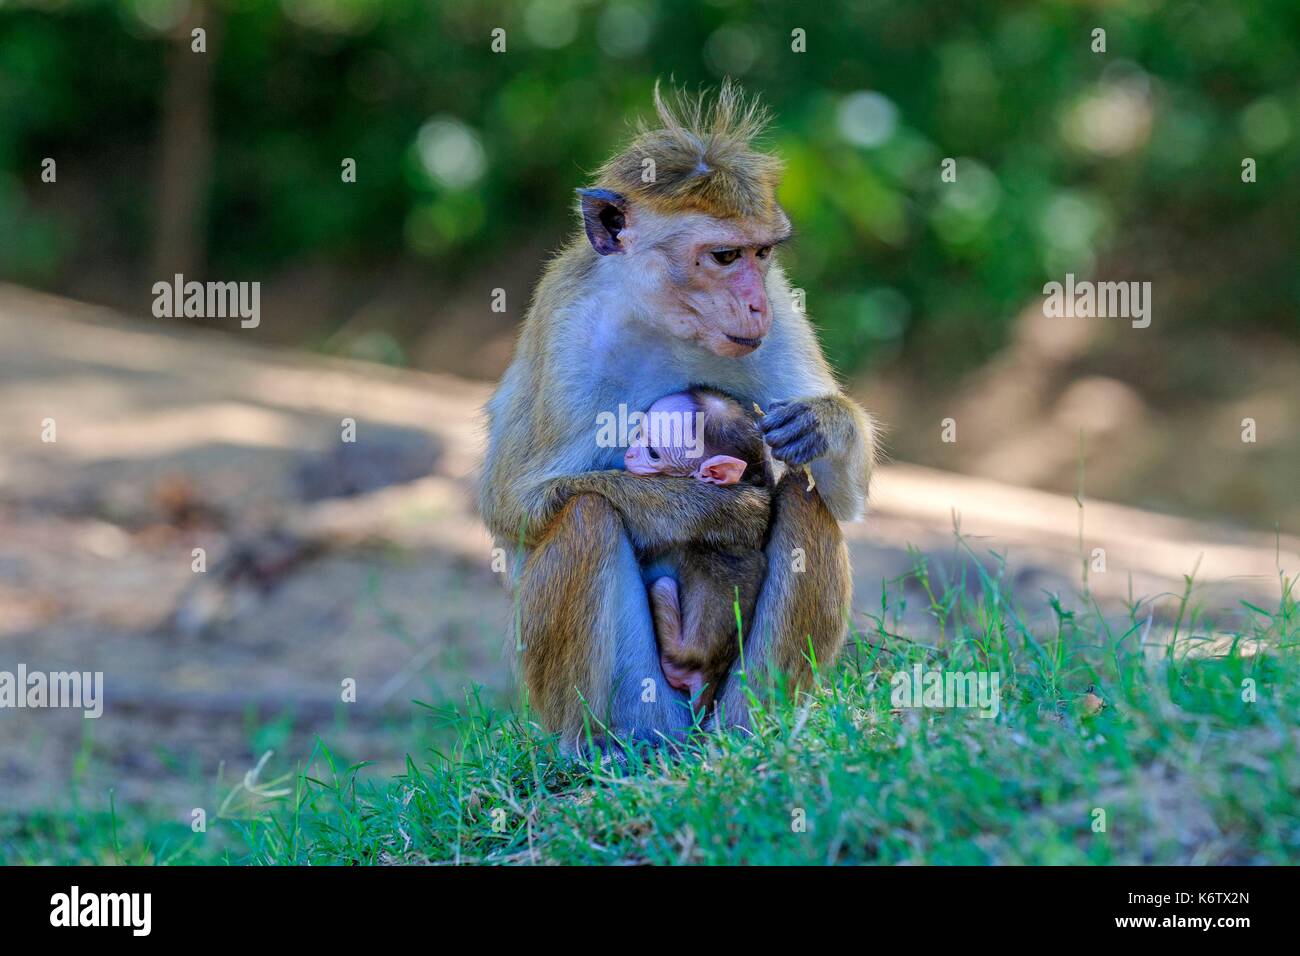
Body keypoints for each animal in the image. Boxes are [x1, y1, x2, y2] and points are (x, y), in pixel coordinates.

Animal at [621, 387, 772, 719]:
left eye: (653, 452)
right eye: (639, 434)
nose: (628, 454)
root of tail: (707, 672)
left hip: (679, 648)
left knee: (662, 587)